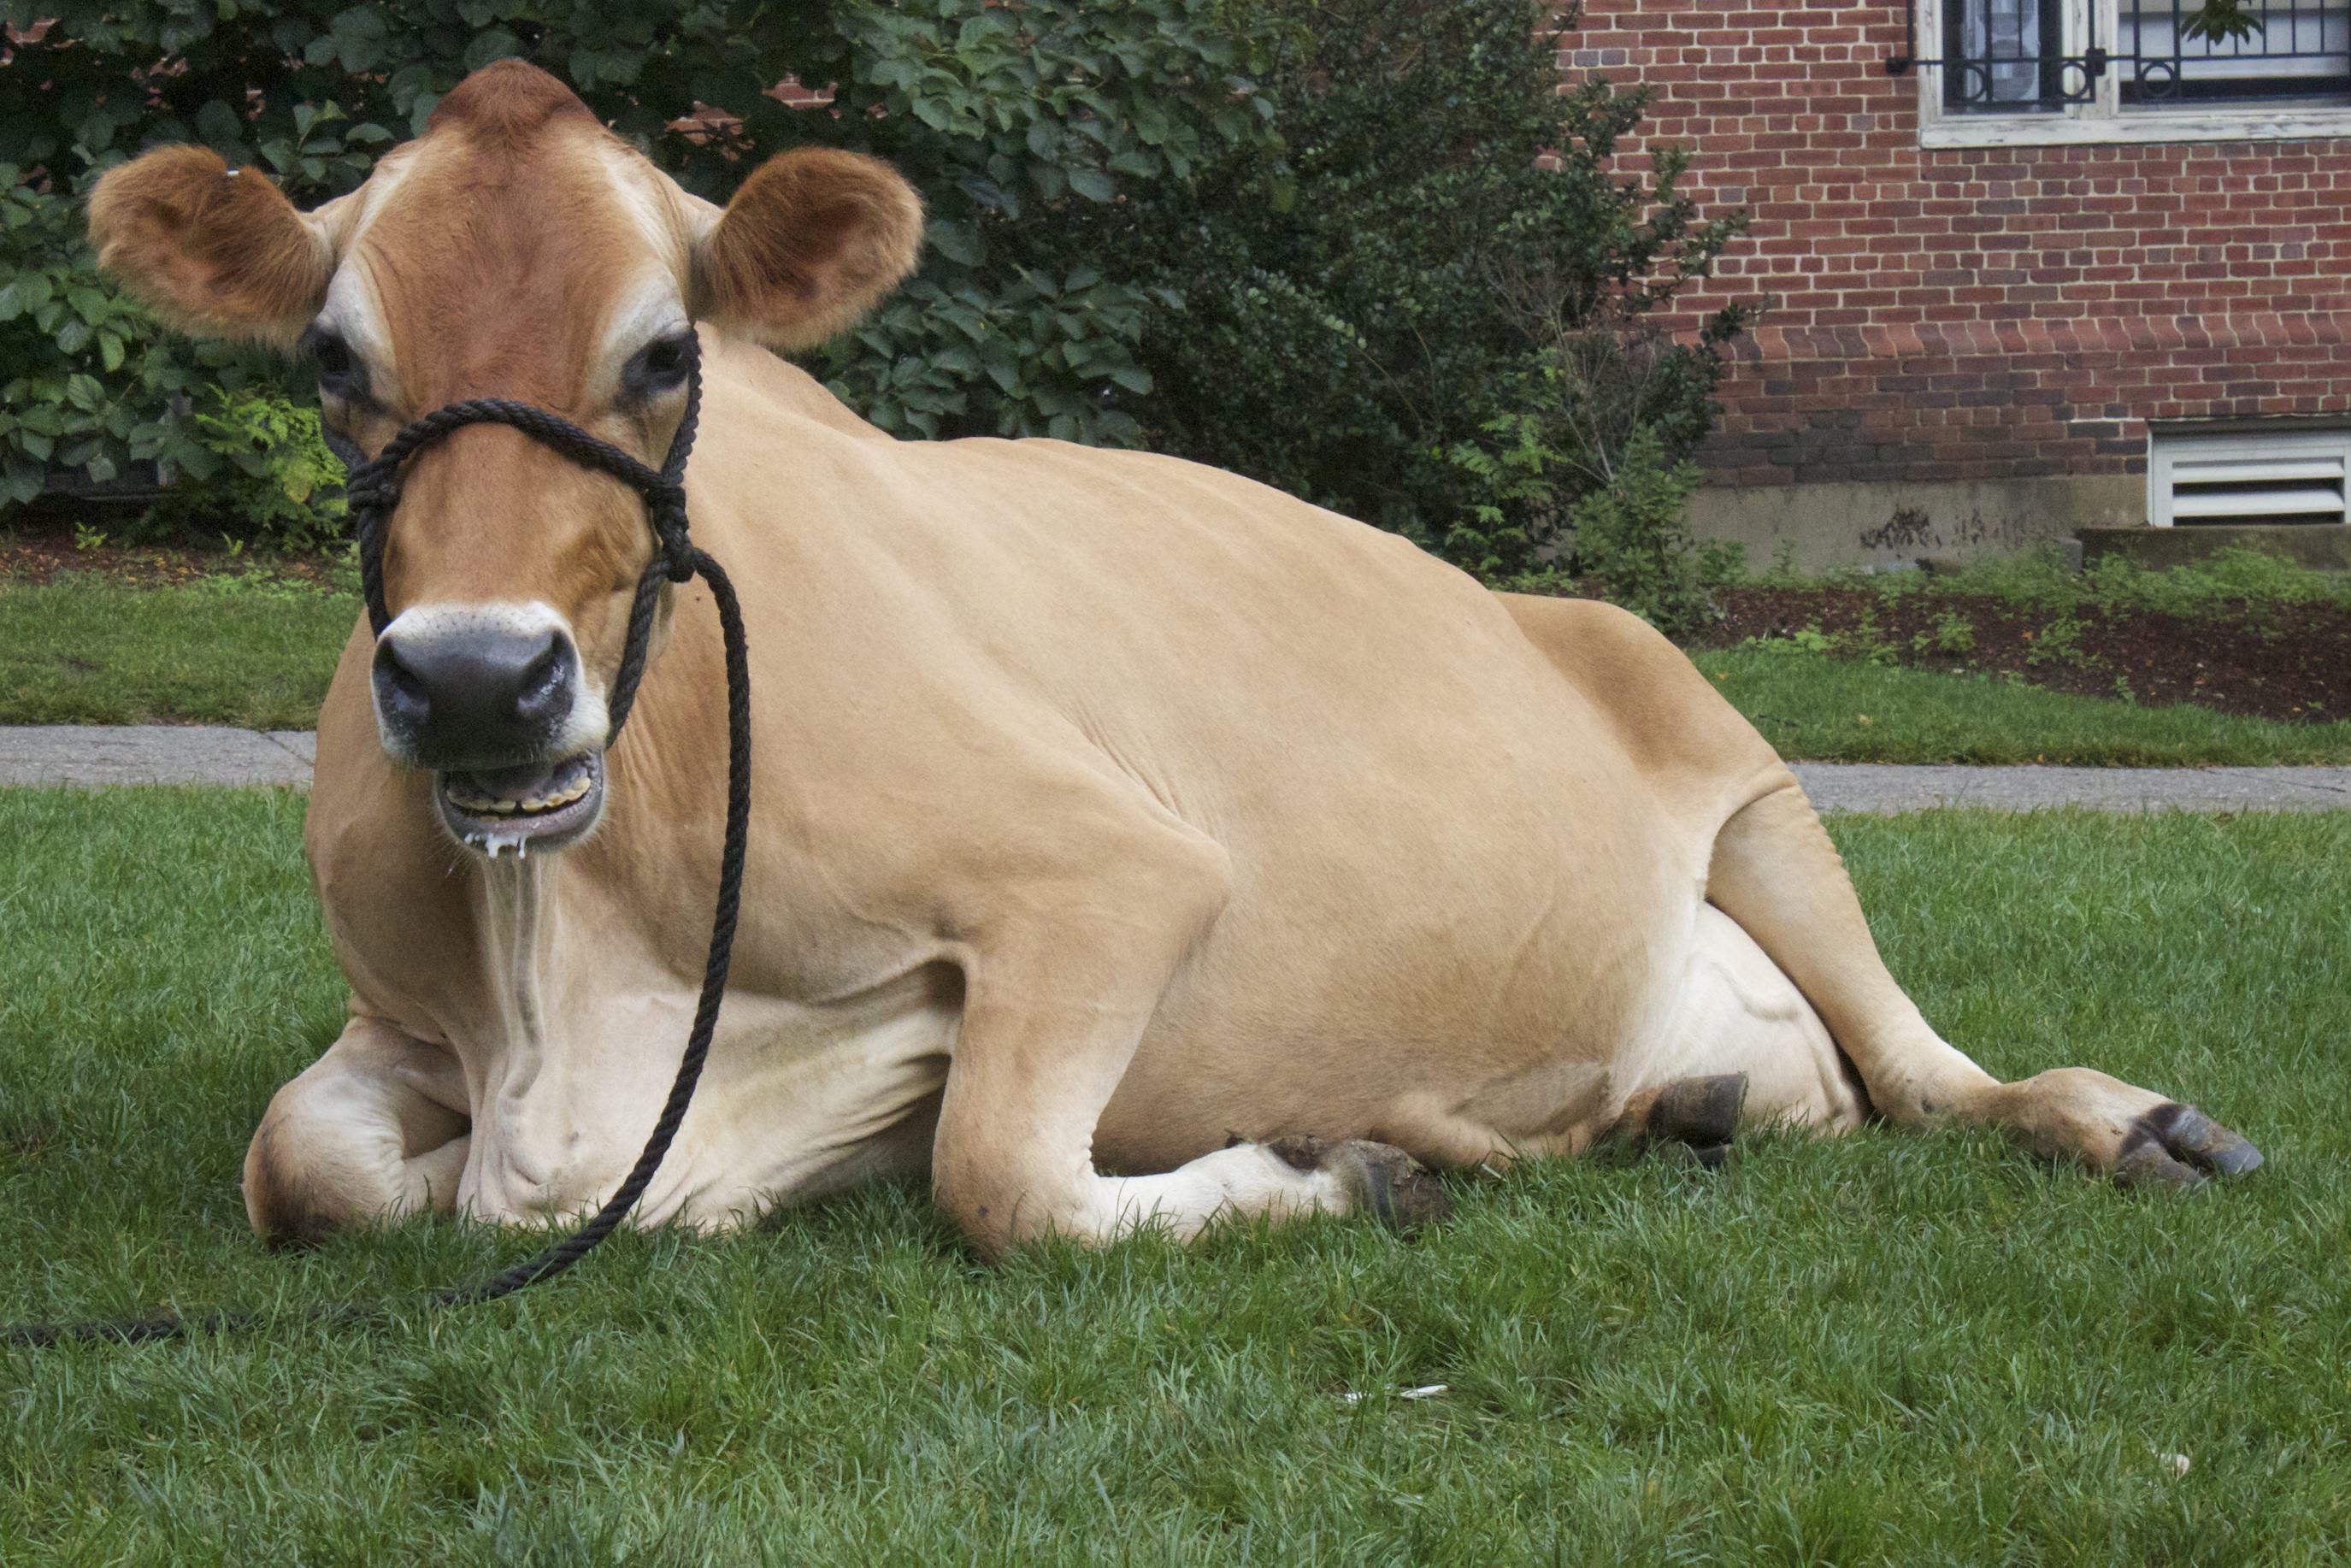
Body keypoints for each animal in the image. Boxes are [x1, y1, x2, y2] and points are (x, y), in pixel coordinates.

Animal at [87, 60, 2258, 1258]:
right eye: (331, 358)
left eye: (665, 350)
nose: (472, 682)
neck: (569, 949)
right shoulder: (403, 1015)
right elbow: (305, 1167)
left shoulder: (1108, 873)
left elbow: (994, 1176)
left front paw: (1324, 1181)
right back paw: (1661, 1111)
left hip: (1751, 781)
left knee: (1928, 1071)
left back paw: (2126, 1124)